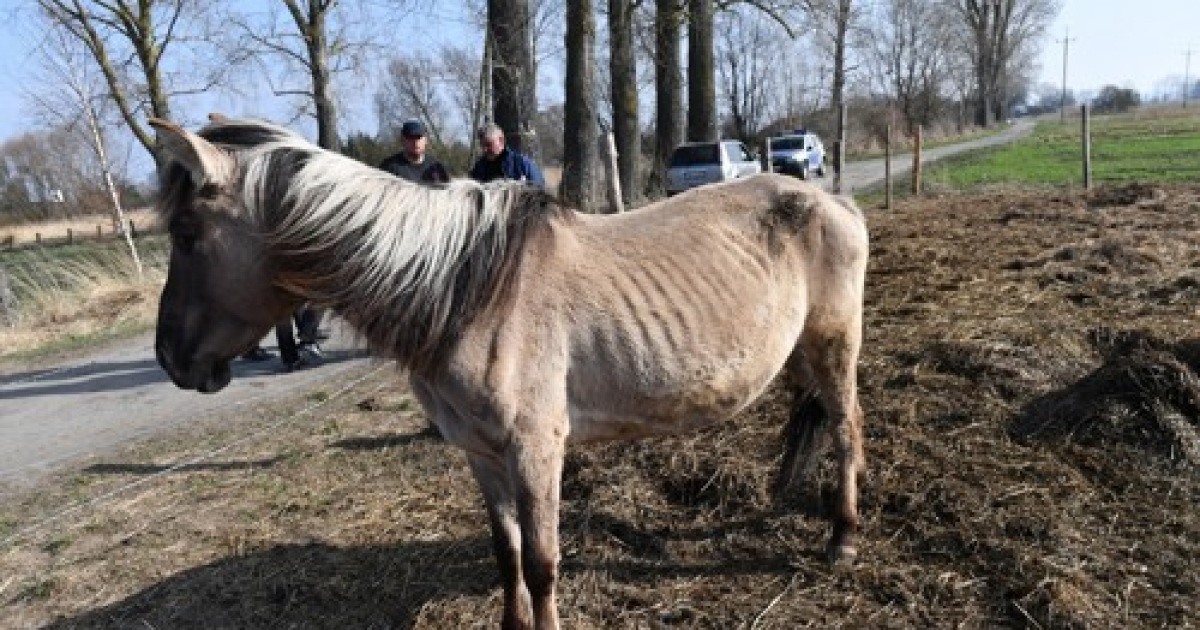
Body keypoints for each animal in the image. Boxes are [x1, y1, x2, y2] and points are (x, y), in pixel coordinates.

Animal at [150, 115, 869, 630]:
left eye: (186, 234)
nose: (172, 361)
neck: (468, 293)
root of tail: (832, 200)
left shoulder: (535, 449)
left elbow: (544, 562)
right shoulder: (481, 453)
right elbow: (508, 554)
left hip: (834, 344)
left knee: (845, 429)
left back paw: (842, 539)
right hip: (800, 348)